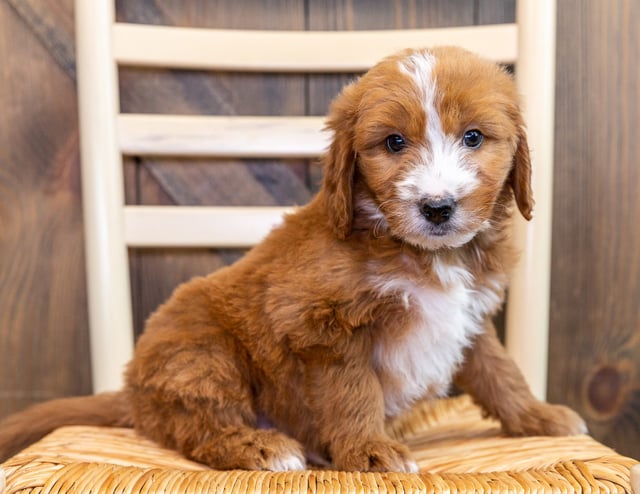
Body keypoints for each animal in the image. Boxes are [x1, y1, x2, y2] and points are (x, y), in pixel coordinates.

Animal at [0, 46, 588, 470]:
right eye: (394, 143)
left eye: (473, 137)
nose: (438, 207)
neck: (424, 252)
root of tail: (132, 393)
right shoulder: (322, 324)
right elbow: (352, 391)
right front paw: (369, 451)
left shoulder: (467, 317)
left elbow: (499, 371)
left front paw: (538, 417)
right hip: (201, 350)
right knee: (196, 424)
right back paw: (258, 447)